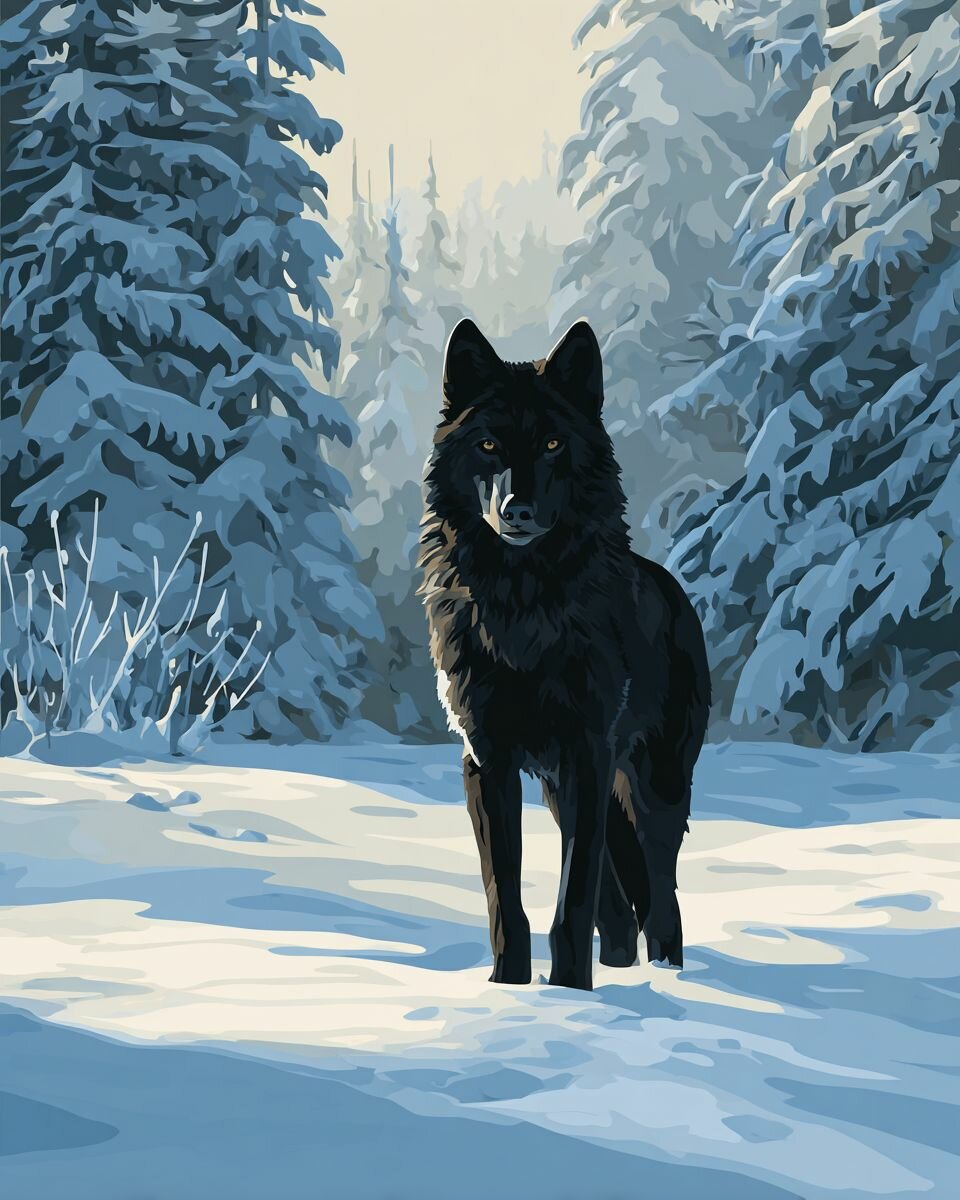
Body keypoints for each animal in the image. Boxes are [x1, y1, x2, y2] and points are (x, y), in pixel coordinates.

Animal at [419, 318, 711, 991]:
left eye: (553, 443)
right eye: (489, 446)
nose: (516, 510)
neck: (523, 607)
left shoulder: (586, 753)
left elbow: (573, 894)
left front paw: (570, 992)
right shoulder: (490, 761)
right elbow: (505, 892)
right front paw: (512, 988)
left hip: (651, 790)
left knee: (663, 904)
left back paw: (666, 982)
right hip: (565, 791)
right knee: (623, 911)